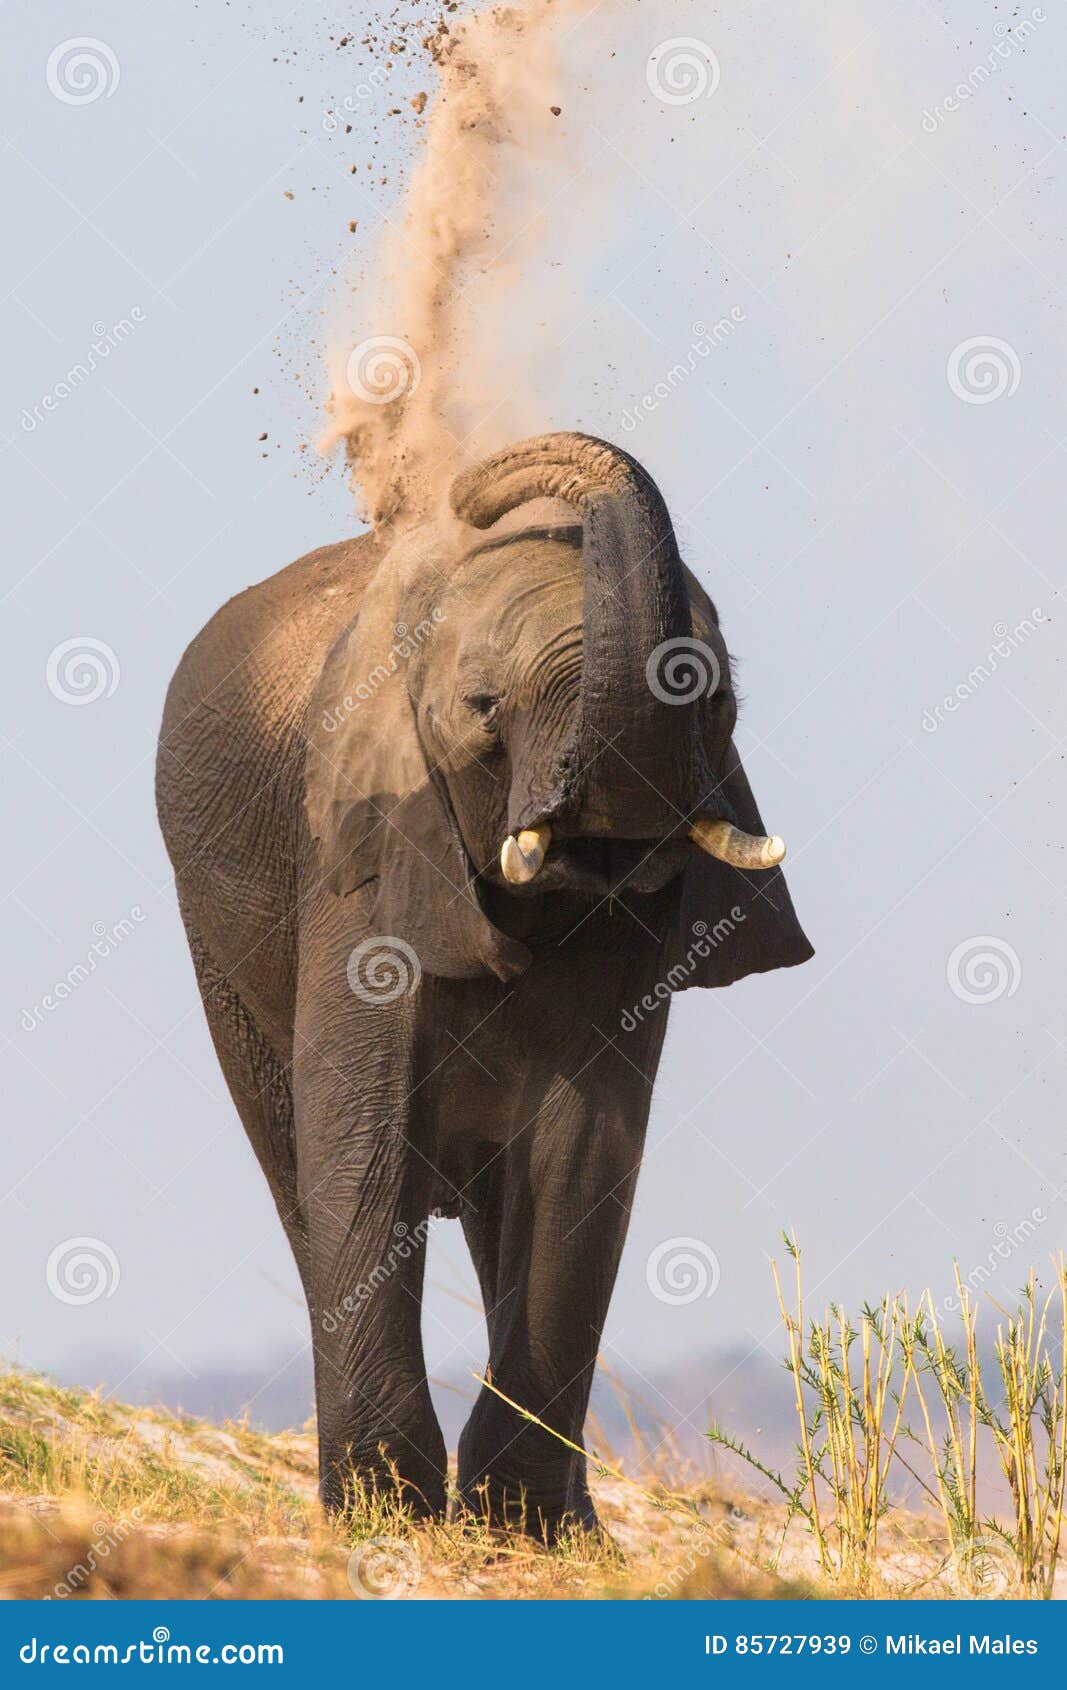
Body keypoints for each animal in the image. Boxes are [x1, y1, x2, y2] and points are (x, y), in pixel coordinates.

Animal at [155, 431, 812, 1538]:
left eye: (719, 700)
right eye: (483, 711)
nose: (476, 485)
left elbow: (581, 1152)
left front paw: (524, 1527)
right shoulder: (361, 847)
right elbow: (360, 1135)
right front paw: (392, 1511)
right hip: (217, 940)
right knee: (294, 1163)